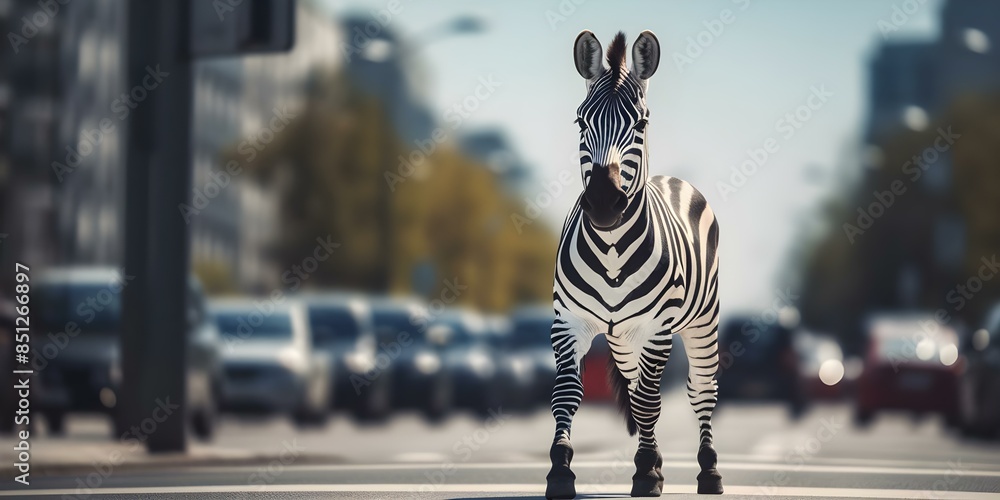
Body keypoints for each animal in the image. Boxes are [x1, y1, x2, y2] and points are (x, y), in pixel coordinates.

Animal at [545, 30, 724, 499]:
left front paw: (645, 473)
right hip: (623, 339)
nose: (605, 204)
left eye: (640, 124)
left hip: (702, 323)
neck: (611, 250)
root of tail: (671, 179)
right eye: (580, 122)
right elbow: (567, 393)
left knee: (701, 389)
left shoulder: (658, 328)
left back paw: (709, 472)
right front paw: (560, 470)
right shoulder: (568, 322)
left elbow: (648, 401)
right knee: (634, 383)